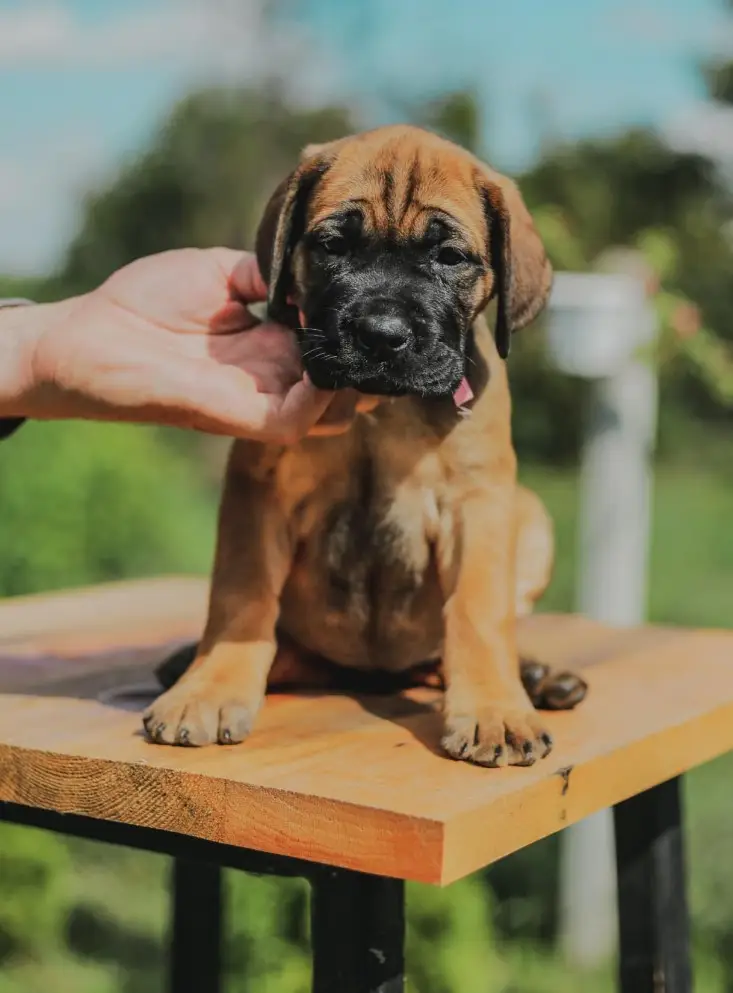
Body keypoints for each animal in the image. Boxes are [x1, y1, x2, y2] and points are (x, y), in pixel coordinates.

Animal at [144, 120, 584, 764]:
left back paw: (535, 676)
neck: (382, 408)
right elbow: (240, 598)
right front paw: (210, 688)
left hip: (530, 517)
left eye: (449, 257)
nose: (381, 335)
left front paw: (495, 711)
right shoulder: (260, 489)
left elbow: (478, 610)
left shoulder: (477, 503)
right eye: (333, 247)